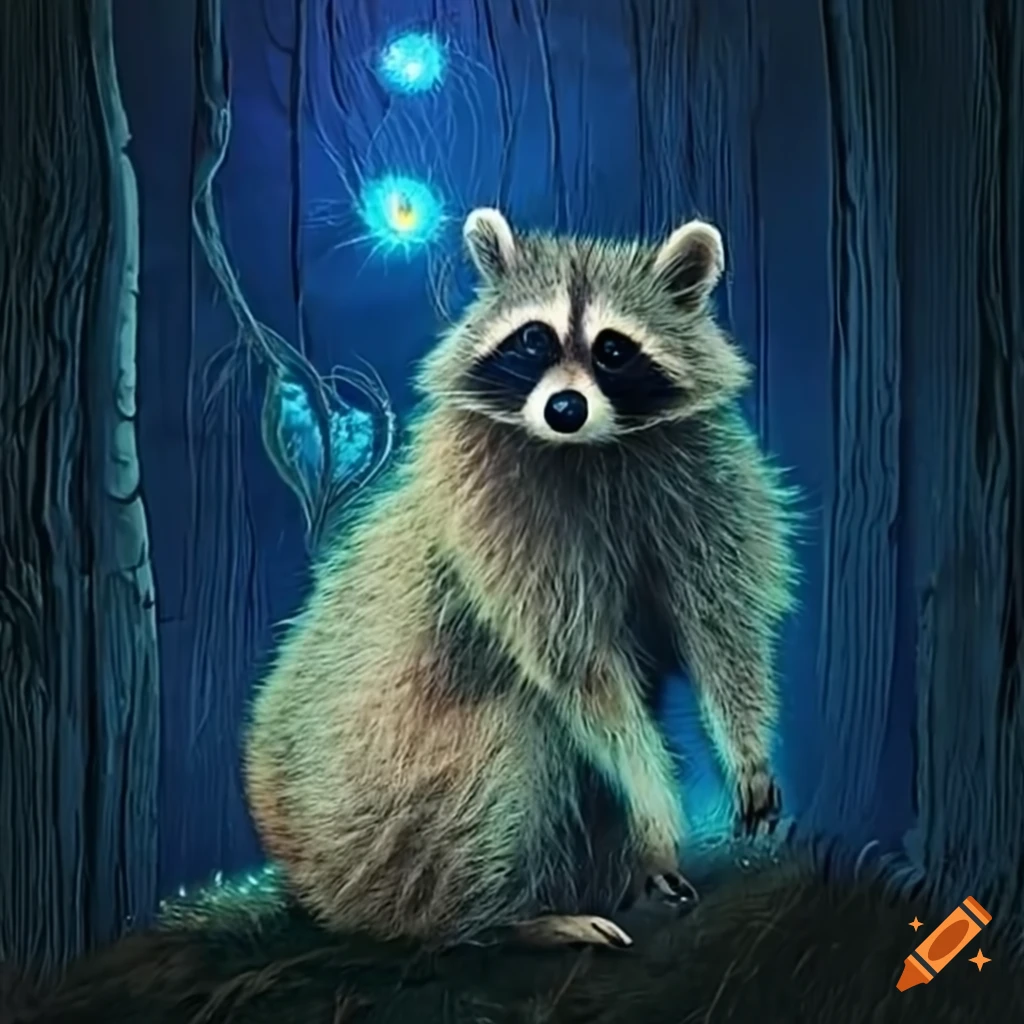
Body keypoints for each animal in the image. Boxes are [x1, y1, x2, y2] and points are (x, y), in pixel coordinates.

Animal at [244, 208, 797, 950]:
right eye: (533, 338)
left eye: (613, 350)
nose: (564, 408)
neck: (588, 450)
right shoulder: (496, 512)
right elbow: (578, 668)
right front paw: (656, 804)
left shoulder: (702, 477)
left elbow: (722, 627)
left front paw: (746, 747)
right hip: (386, 829)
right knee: (520, 730)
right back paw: (509, 918)